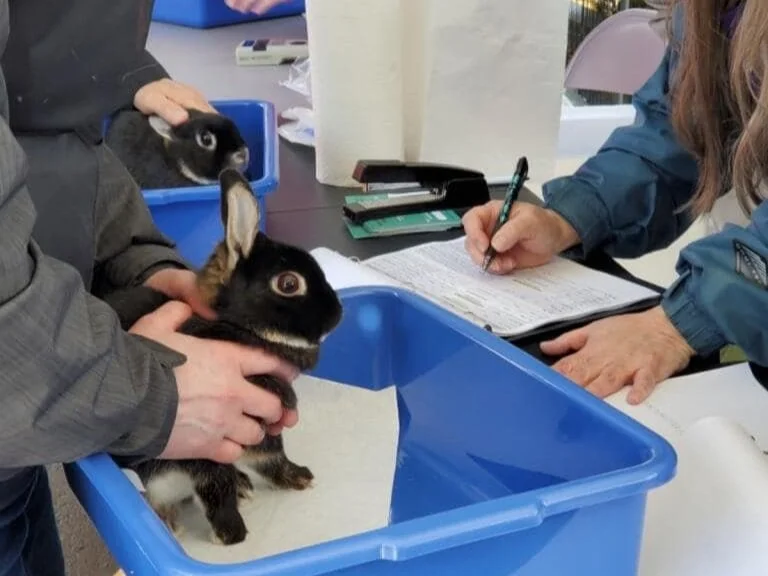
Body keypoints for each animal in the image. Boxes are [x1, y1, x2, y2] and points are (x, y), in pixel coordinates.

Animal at [102, 168, 344, 545]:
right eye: (289, 284)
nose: (338, 313)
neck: (239, 328)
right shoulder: (203, 440)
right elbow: (216, 482)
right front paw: (231, 534)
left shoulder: (261, 430)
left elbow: (271, 457)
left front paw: (299, 477)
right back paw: (171, 519)